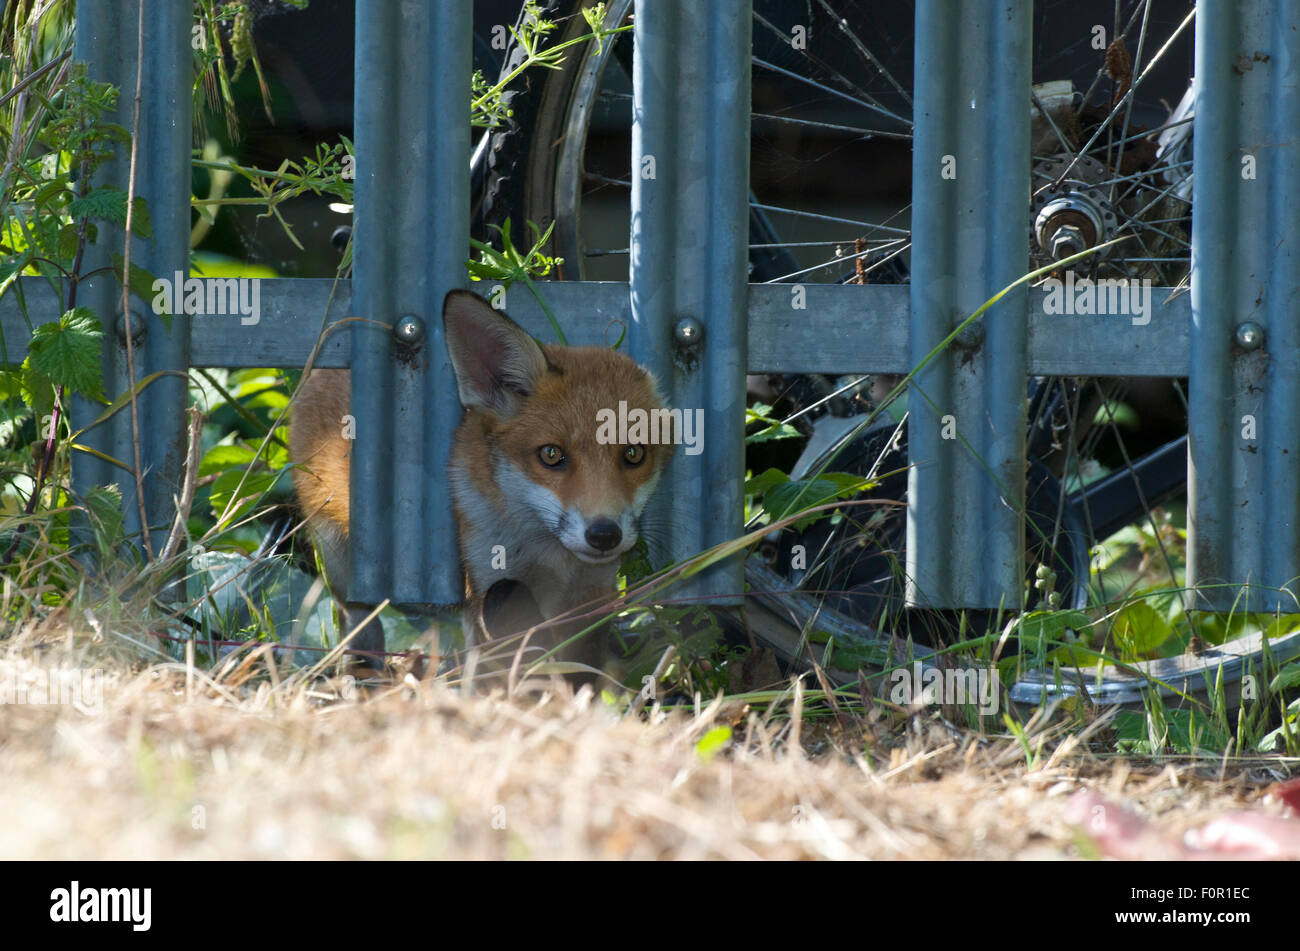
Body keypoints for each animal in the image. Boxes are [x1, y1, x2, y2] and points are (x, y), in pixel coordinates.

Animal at [290, 288, 670, 672]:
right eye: (551, 455)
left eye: (634, 453)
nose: (604, 535)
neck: (549, 556)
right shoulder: (485, 589)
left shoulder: (592, 597)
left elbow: (581, 670)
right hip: (340, 563)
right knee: (358, 623)